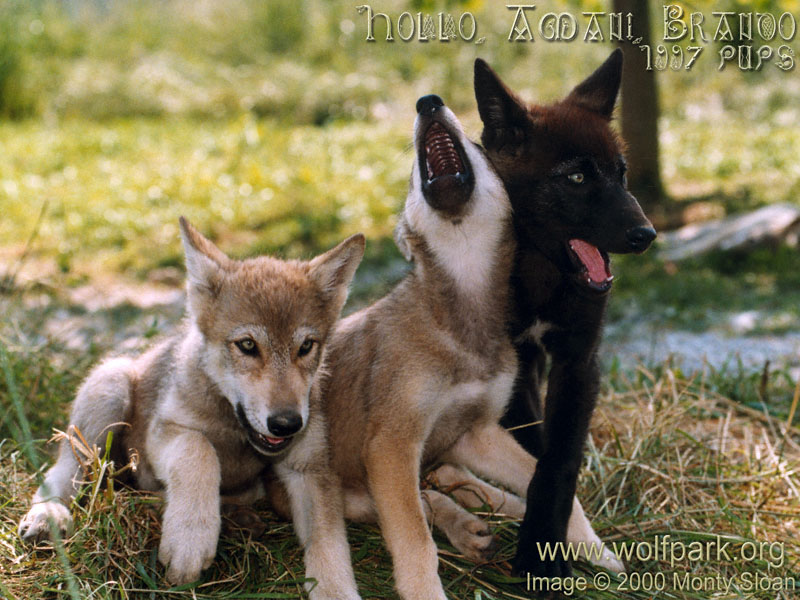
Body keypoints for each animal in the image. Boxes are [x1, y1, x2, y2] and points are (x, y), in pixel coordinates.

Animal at [18, 217, 364, 599]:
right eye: (247, 345)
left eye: (306, 347)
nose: (287, 424)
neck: (235, 432)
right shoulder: (164, 434)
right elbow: (199, 452)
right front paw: (190, 540)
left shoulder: (309, 470)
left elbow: (329, 542)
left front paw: (336, 590)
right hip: (110, 388)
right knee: (65, 472)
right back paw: (48, 515)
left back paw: (237, 519)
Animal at [265, 94, 617, 600]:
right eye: (413, 171)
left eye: (476, 145)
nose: (428, 101)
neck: (458, 324)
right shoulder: (391, 447)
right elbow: (416, 541)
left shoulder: (477, 431)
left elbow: (546, 480)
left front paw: (596, 549)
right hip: (347, 490)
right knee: (420, 499)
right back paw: (467, 525)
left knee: (444, 482)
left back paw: (478, 516)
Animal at [474, 50, 656, 577]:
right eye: (576, 177)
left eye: (621, 173)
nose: (647, 234)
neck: (539, 272)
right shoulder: (512, 368)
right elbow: (533, 451)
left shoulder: (579, 362)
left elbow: (559, 460)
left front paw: (544, 548)